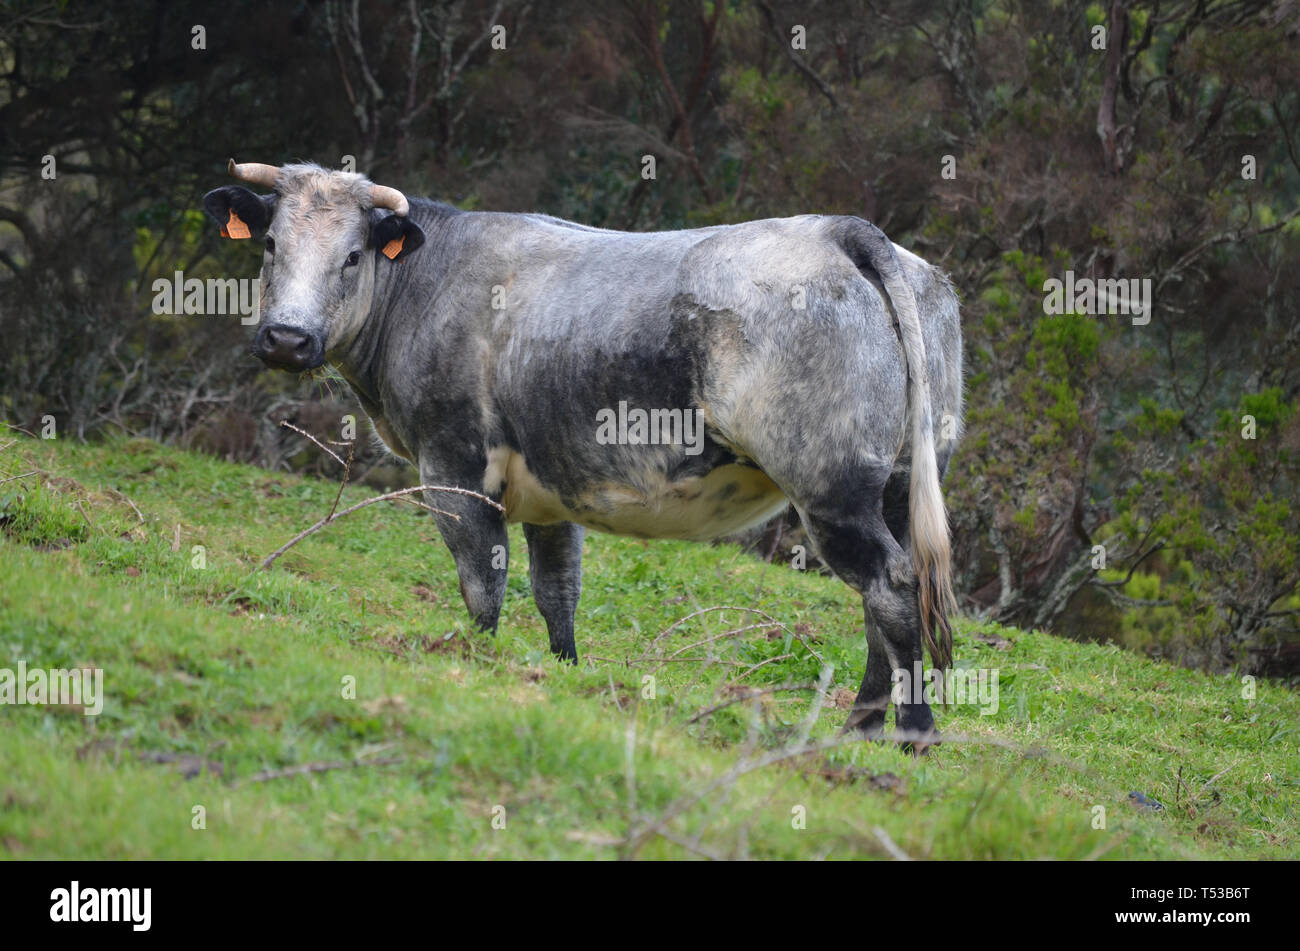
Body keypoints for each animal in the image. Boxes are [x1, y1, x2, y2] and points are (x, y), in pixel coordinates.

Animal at [203, 159, 963, 747]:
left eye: (353, 256)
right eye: (270, 244)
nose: (287, 339)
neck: (426, 280)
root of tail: (840, 229)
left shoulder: (452, 466)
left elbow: (482, 581)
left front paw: (476, 660)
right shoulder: (550, 486)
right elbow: (557, 591)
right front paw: (562, 676)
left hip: (831, 488)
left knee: (891, 585)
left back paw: (908, 730)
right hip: (896, 484)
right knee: (881, 597)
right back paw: (860, 726)